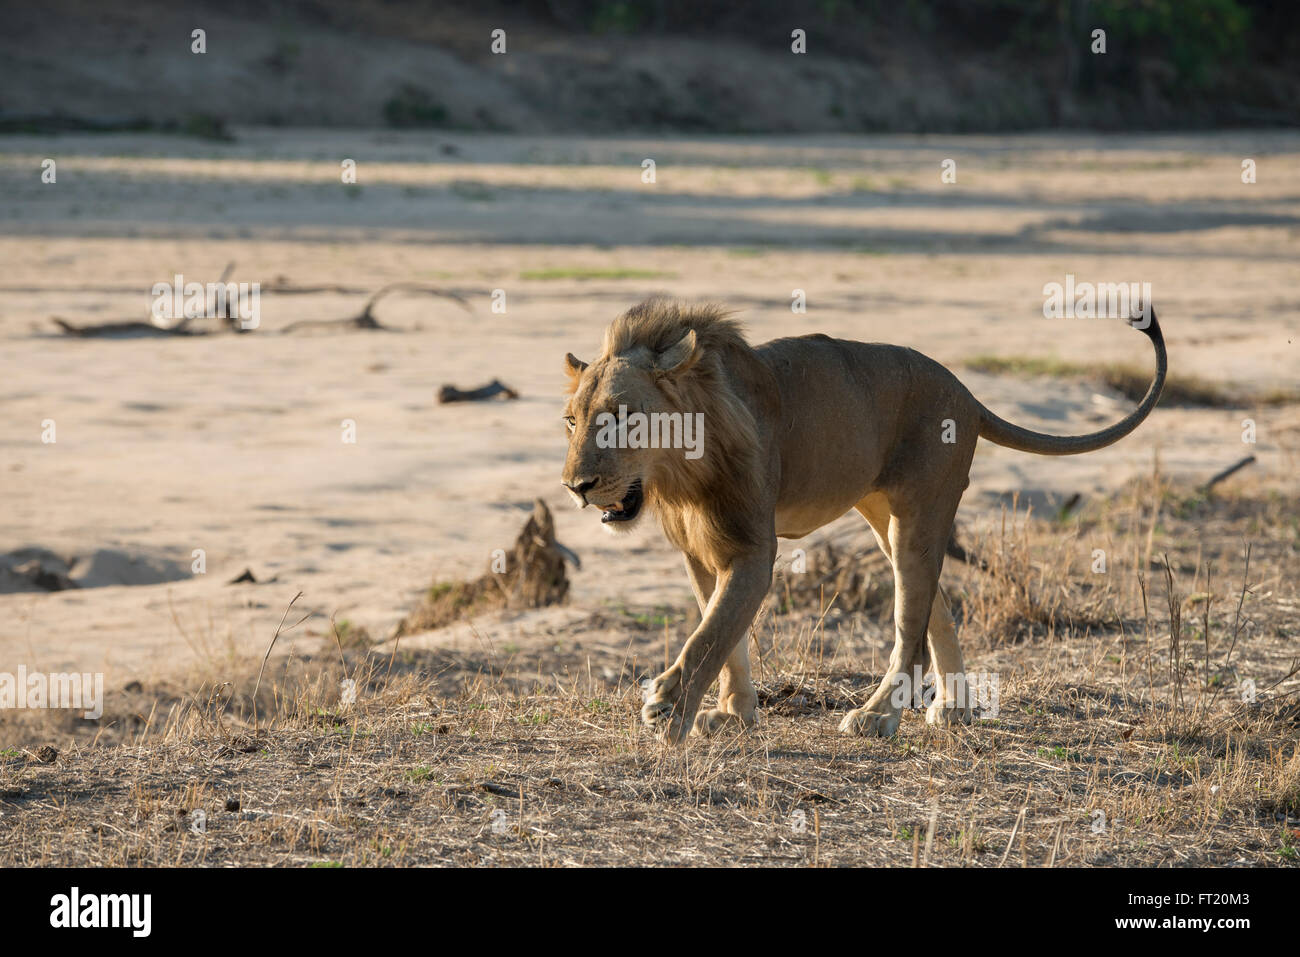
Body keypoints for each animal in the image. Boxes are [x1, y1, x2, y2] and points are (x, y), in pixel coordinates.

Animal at [561, 299, 1166, 743]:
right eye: (571, 421)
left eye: (624, 418)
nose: (575, 488)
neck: (681, 473)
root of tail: (969, 395)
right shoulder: (698, 553)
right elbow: (725, 635)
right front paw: (734, 714)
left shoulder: (754, 551)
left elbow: (711, 634)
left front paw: (669, 705)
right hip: (884, 518)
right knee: (937, 609)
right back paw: (954, 706)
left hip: (917, 516)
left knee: (910, 629)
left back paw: (878, 716)